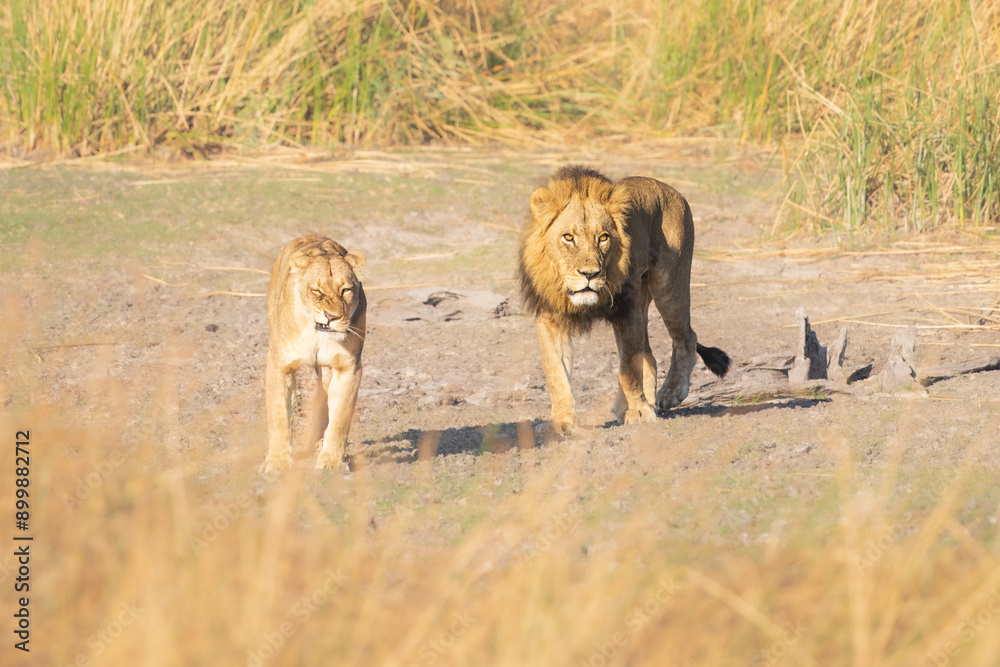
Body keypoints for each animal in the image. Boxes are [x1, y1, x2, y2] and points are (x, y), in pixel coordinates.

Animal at [262, 235, 367, 472]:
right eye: (317, 292)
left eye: (346, 290)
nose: (332, 317)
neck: (316, 334)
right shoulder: (279, 365)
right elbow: (278, 415)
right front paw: (277, 461)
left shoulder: (348, 367)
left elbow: (340, 417)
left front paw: (332, 460)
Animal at [517, 166, 730, 434]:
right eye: (568, 237)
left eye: (603, 237)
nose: (590, 274)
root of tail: (670, 189)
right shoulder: (550, 317)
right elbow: (556, 373)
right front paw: (561, 422)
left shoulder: (627, 312)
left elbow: (628, 368)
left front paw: (637, 411)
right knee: (649, 354)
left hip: (669, 284)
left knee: (686, 337)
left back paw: (670, 392)